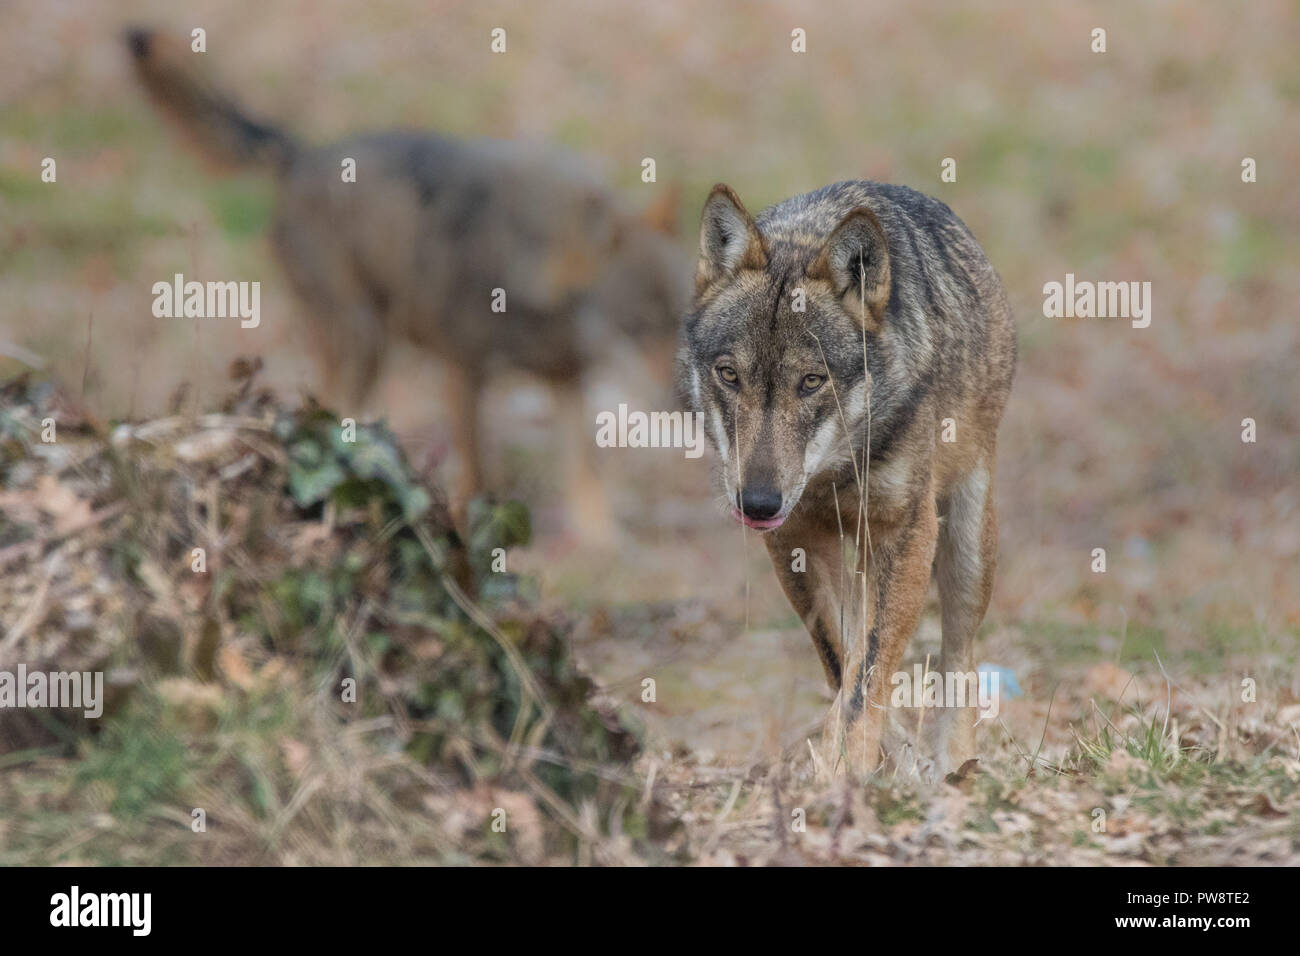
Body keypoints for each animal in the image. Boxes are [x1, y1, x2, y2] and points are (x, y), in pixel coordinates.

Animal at [125, 28, 689, 538]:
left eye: (675, 322)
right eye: (639, 328)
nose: (681, 398)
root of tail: (303, 155)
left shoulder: (566, 377)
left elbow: (584, 467)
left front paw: (601, 542)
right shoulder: (464, 371)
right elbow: (475, 471)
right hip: (363, 341)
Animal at [681, 181, 1016, 776]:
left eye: (812, 382)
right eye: (729, 375)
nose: (758, 504)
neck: (832, 473)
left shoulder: (907, 533)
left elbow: (868, 673)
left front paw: (847, 771)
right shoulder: (795, 541)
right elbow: (842, 661)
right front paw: (876, 758)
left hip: (966, 543)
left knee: (960, 658)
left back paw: (955, 766)